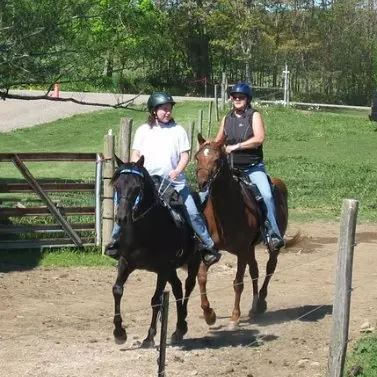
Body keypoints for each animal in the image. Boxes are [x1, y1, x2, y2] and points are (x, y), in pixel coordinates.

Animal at [194, 135, 296, 328]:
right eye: (197, 157)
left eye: (217, 159)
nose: (202, 183)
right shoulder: (213, 249)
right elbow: (201, 277)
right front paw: (209, 314)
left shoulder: (241, 251)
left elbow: (238, 283)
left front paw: (234, 317)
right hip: (250, 249)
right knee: (255, 271)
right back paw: (254, 307)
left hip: (270, 246)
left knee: (270, 268)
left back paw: (261, 302)